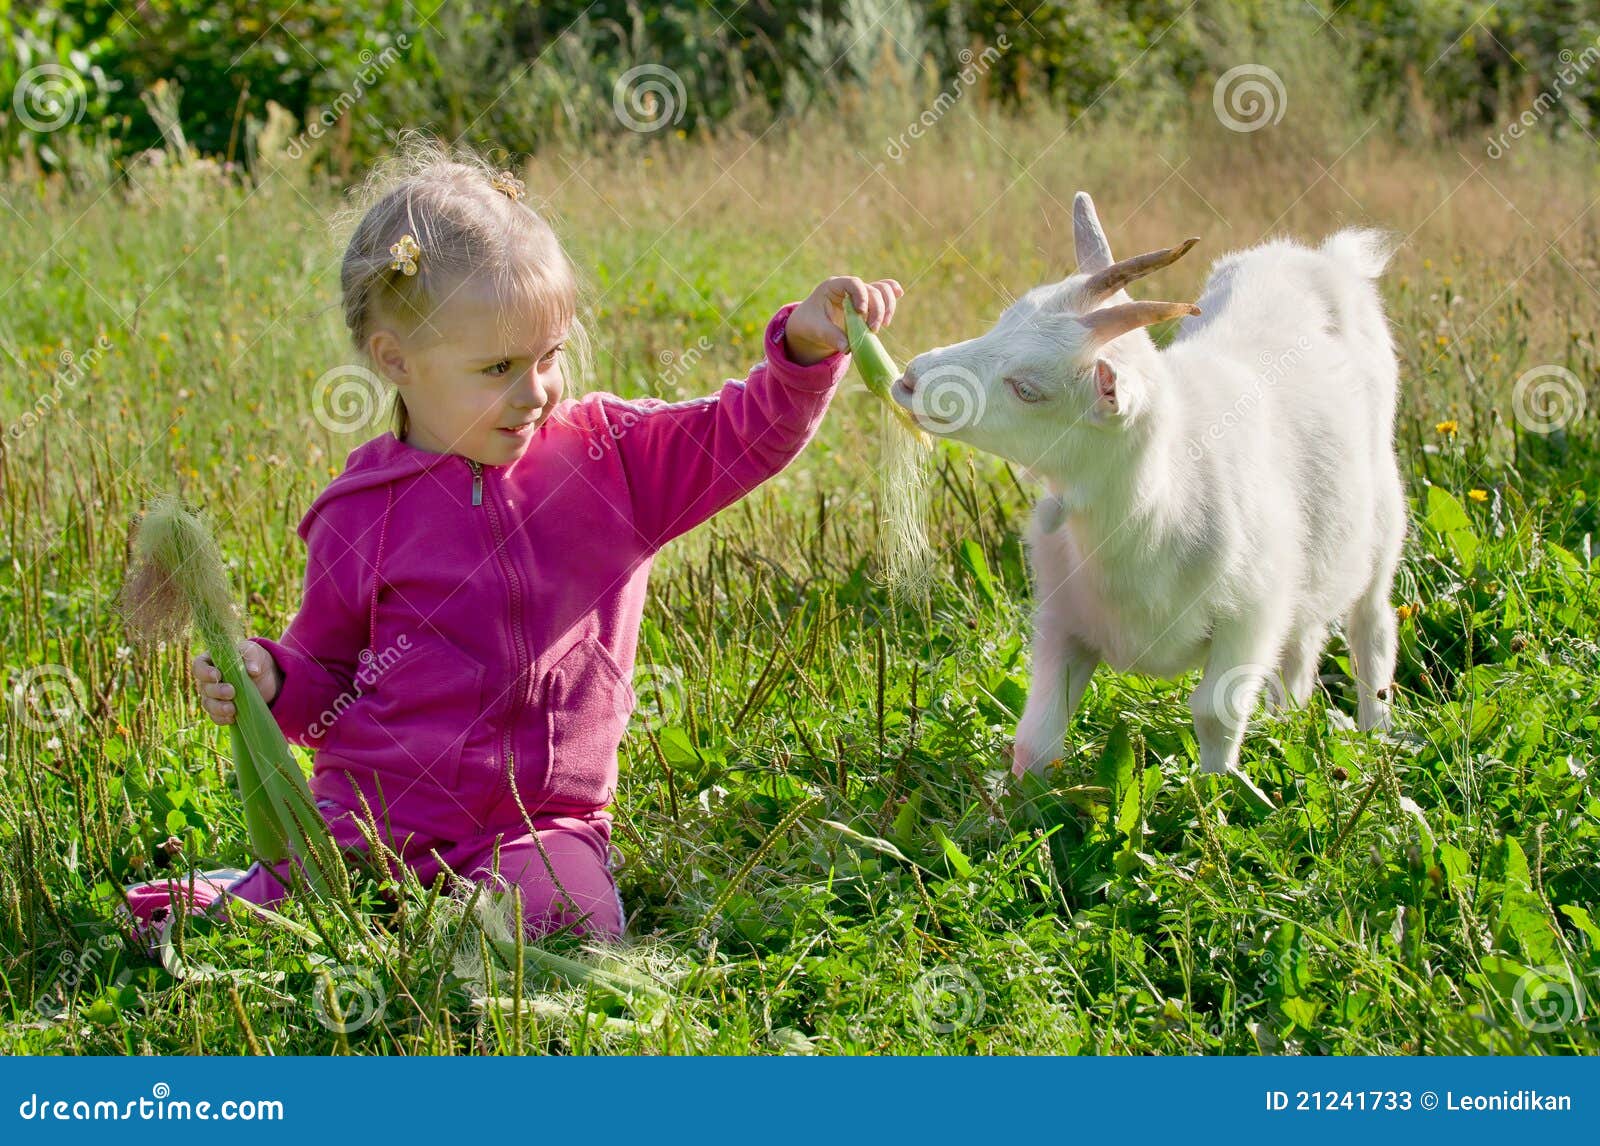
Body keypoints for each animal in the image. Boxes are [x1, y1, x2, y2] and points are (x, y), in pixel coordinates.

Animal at [893, 192, 1405, 785]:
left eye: (1027, 388)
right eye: (1004, 321)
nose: (910, 377)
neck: (1164, 501)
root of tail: (1326, 258)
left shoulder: (1252, 616)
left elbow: (1215, 712)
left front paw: (1215, 794)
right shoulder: (1064, 621)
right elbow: (1037, 735)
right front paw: (1020, 802)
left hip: (1384, 527)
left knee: (1372, 626)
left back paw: (1375, 733)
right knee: (1301, 649)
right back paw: (1288, 723)